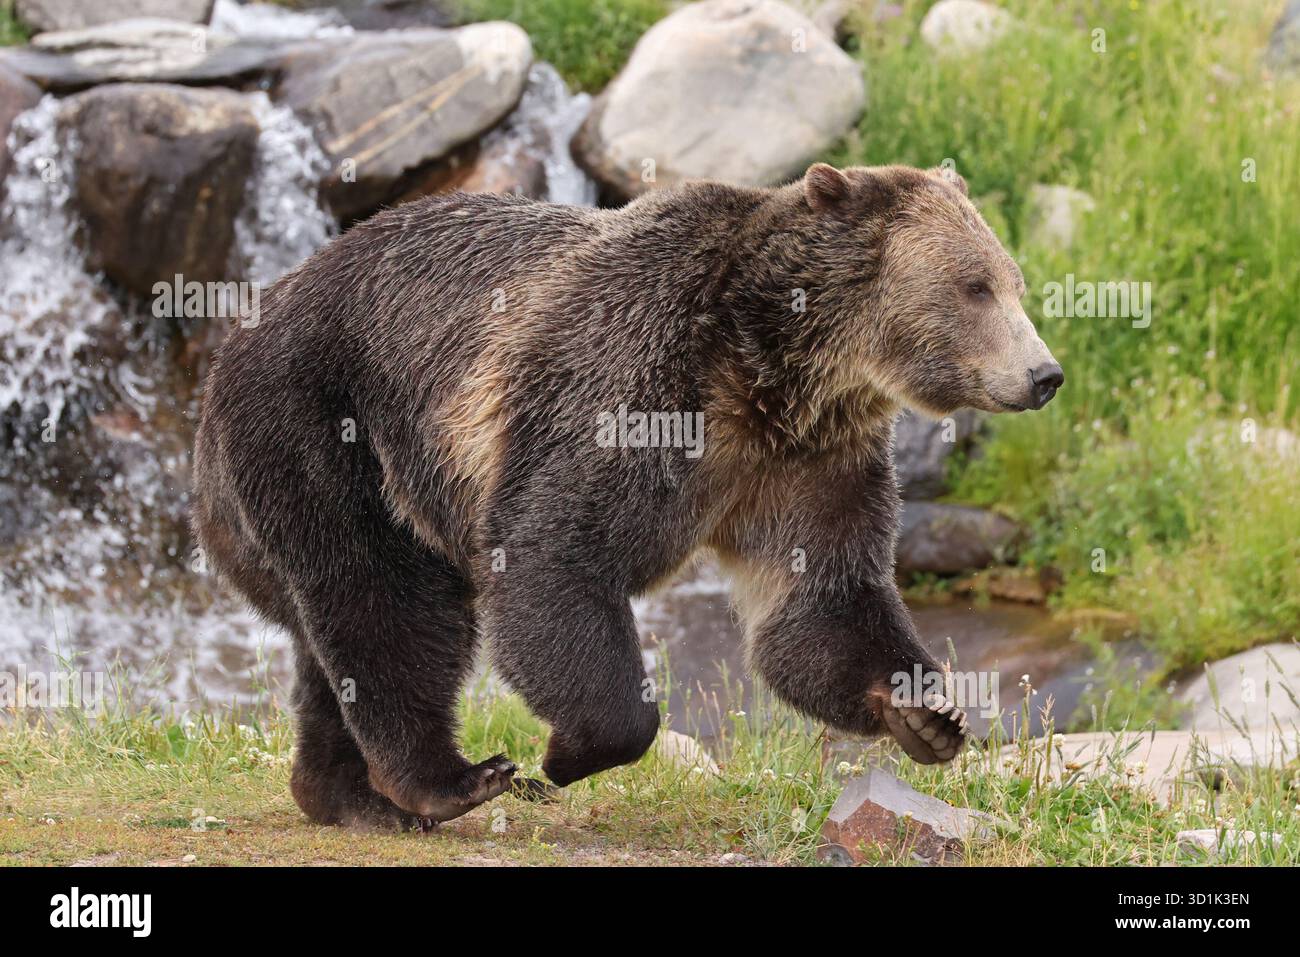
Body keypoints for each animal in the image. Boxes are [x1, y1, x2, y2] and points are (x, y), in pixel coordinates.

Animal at [192, 162, 1062, 830]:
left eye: (1014, 282)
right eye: (976, 285)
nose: (1044, 373)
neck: (771, 369)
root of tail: (240, 328)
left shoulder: (808, 461)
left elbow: (821, 596)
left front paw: (927, 709)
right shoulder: (630, 379)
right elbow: (556, 555)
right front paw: (565, 753)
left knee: (329, 639)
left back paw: (348, 795)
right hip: (330, 426)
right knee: (388, 602)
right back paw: (449, 779)